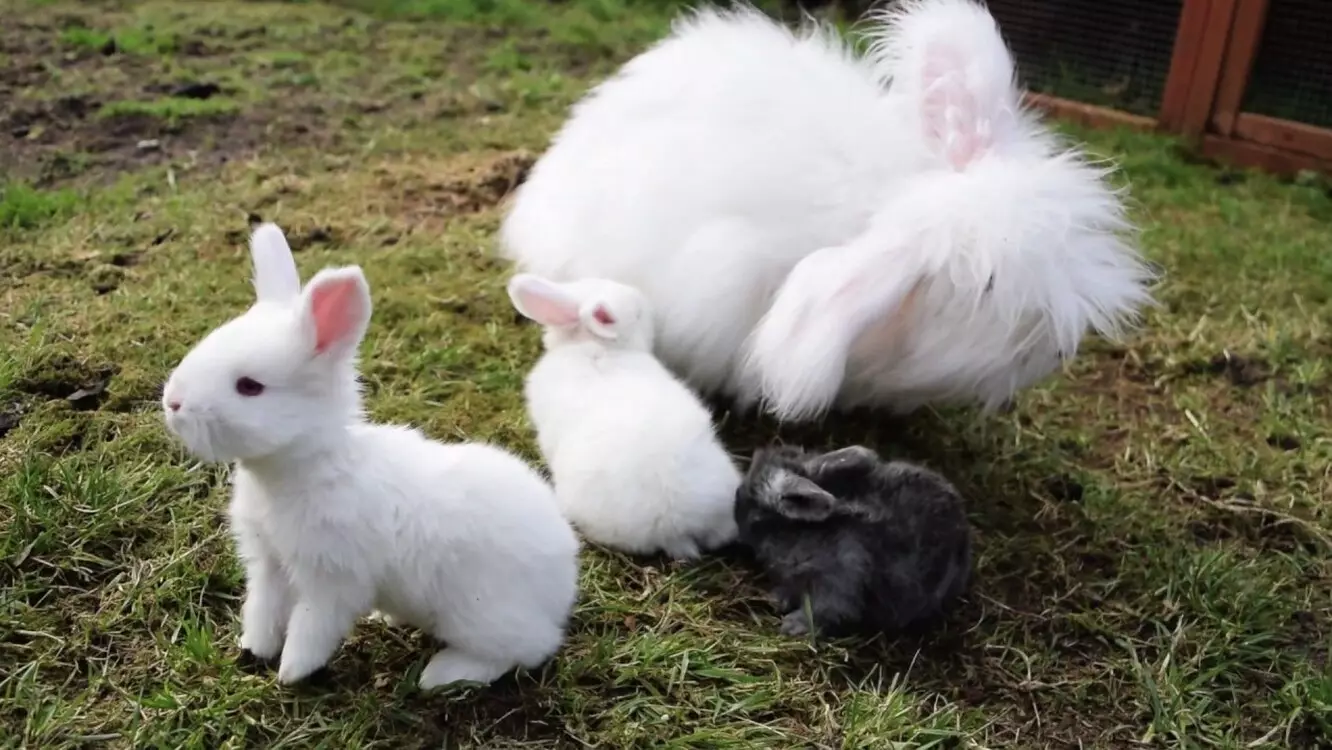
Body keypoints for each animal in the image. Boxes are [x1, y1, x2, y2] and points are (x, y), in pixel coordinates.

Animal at [159, 225, 578, 692]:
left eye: (249, 386)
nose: (173, 402)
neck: (298, 471)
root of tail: (563, 581)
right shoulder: (268, 564)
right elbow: (262, 609)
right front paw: (254, 650)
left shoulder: (332, 579)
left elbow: (312, 626)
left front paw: (291, 673)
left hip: (478, 613)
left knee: (527, 649)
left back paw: (444, 674)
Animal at [735, 444, 975, 639]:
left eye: (756, 515)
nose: (736, 509)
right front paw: (776, 599)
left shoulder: (840, 582)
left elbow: (826, 611)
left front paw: (792, 626)